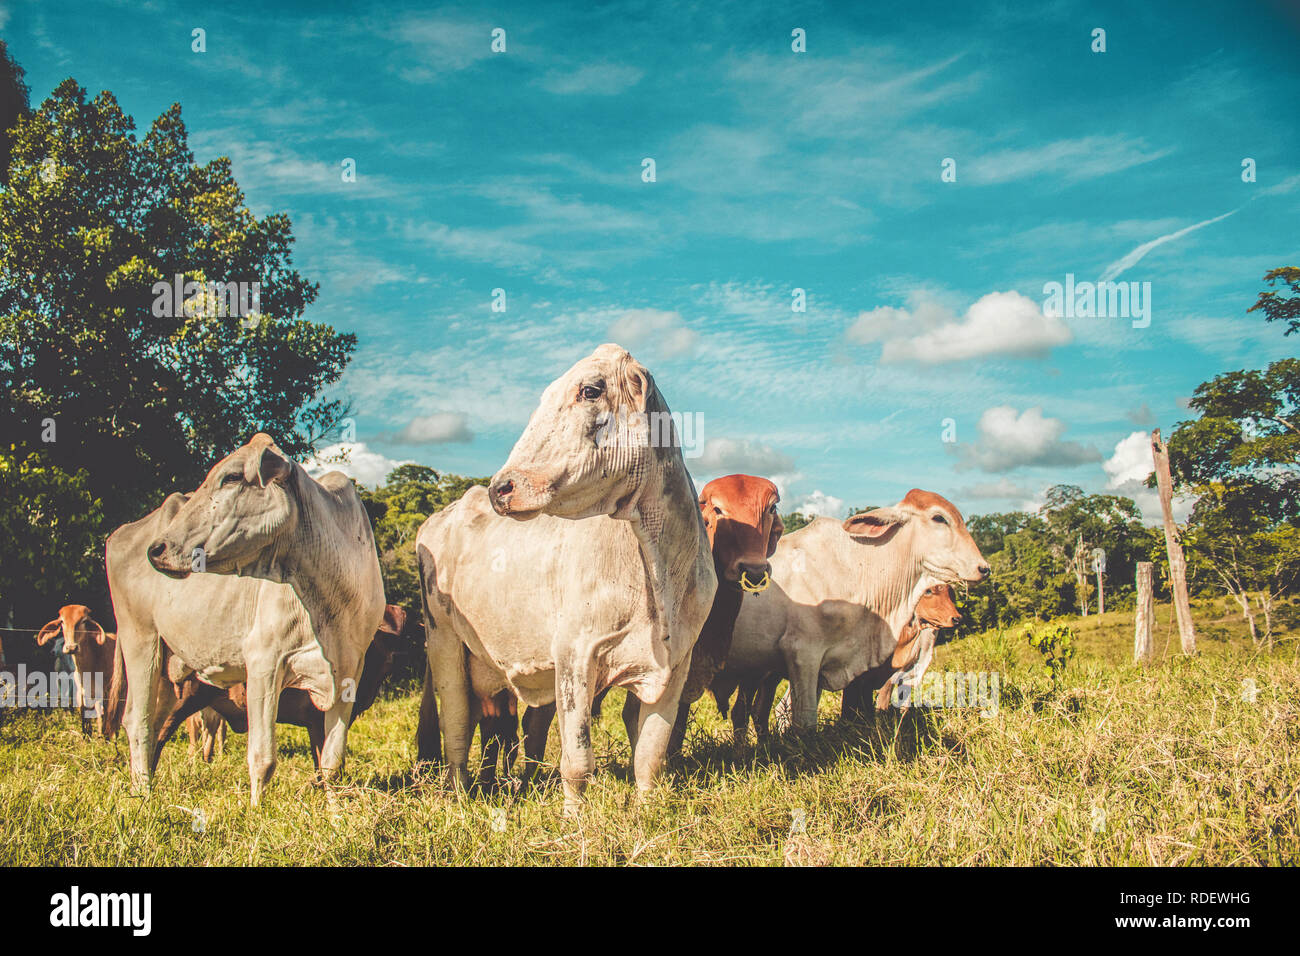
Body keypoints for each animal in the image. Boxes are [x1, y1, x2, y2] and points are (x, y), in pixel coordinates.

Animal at [415, 344, 716, 813]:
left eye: (590, 390)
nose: (501, 488)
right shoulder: (575, 652)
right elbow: (577, 759)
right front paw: (573, 817)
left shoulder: (676, 663)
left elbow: (651, 753)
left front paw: (647, 808)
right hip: (443, 641)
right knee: (458, 730)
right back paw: (462, 796)